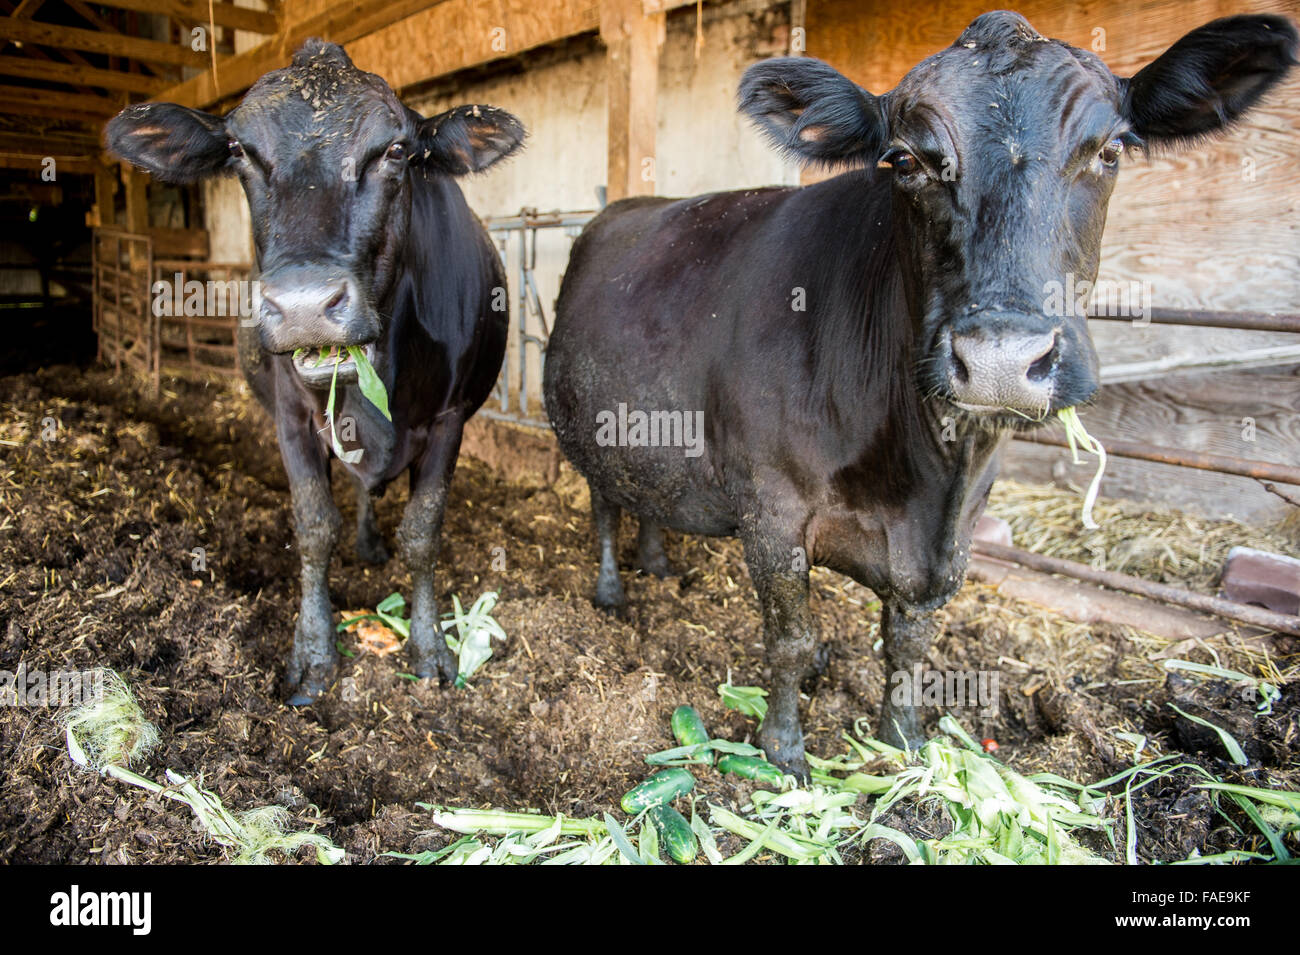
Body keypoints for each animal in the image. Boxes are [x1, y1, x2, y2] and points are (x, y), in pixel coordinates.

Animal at [105, 40, 525, 704]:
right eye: (238, 151)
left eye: (397, 151)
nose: (304, 305)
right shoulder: (292, 419)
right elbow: (313, 527)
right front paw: (314, 652)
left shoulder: (450, 419)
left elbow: (422, 533)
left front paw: (429, 647)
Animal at [543, 12, 1297, 775]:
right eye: (905, 162)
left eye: (1110, 150)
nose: (1000, 359)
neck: (926, 480)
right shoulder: (771, 509)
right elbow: (791, 640)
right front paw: (783, 753)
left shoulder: (952, 535)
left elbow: (910, 640)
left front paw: (901, 741)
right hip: (589, 428)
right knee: (604, 504)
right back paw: (611, 589)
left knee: (647, 497)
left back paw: (658, 564)